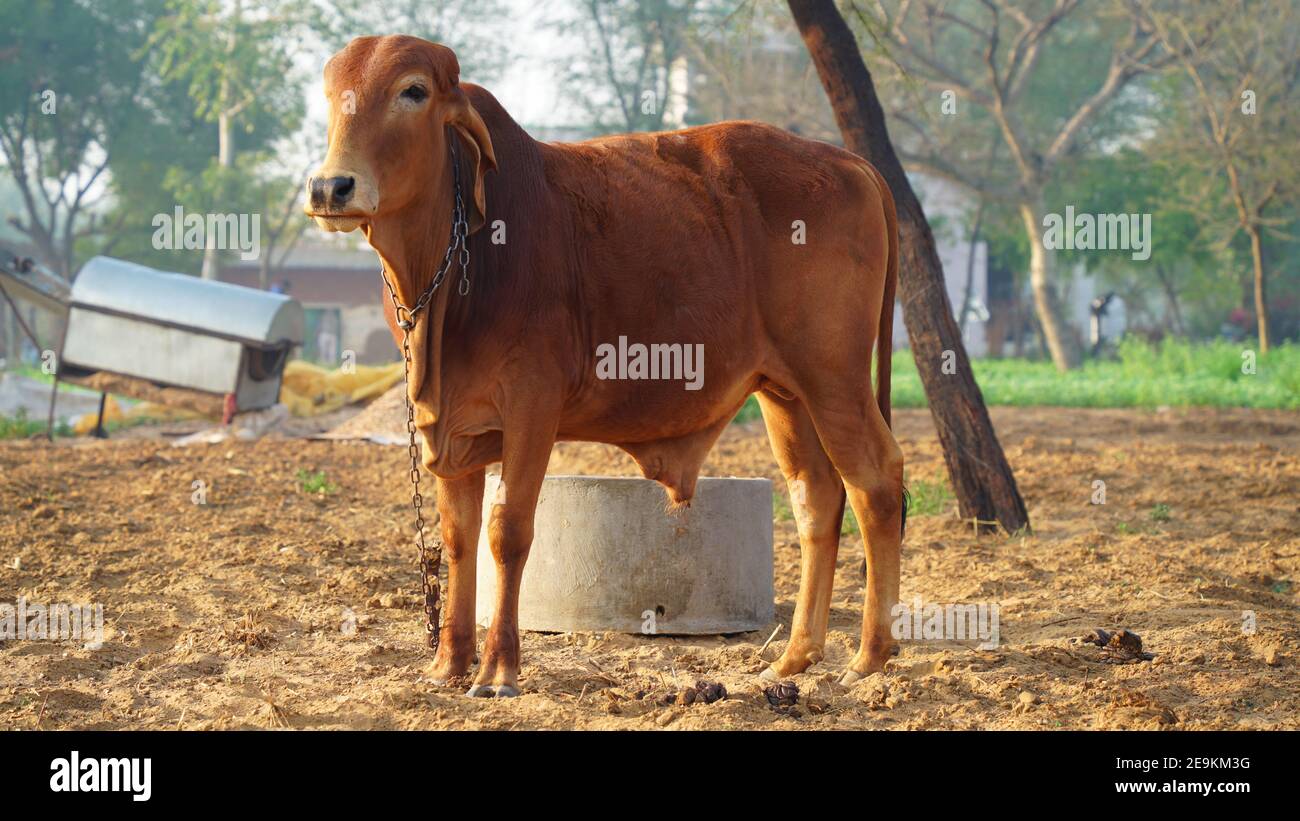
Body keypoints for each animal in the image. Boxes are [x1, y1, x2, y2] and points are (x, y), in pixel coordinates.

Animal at [306, 35, 903, 697]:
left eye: (412, 91)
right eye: (330, 93)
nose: (331, 188)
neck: (456, 265)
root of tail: (850, 162)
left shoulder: (532, 406)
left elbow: (507, 532)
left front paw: (498, 670)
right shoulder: (452, 424)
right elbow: (459, 538)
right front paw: (448, 664)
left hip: (835, 380)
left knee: (877, 485)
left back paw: (870, 657)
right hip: (784, 392)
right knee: (816, 498)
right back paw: (795, 656)